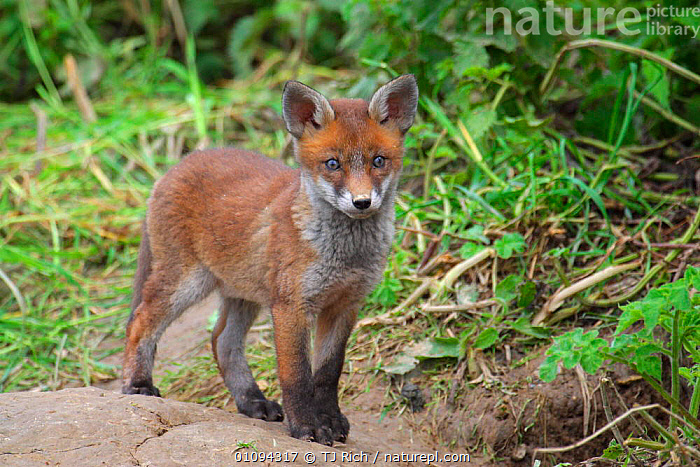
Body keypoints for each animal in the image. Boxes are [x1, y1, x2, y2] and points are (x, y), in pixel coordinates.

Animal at [122, 75, 418, 445]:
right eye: (332, 164)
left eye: (378, 161)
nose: (362, 202)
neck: (345, 255)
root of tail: (175, 166)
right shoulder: (292, 305)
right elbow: (297, 375)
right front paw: (306, 426)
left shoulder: (345, 304)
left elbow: (327, 373)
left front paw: (330, 420)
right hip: (186, 283)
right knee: (139, 323)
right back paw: (138, 385)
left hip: (243, 293)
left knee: (222, 341)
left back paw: (252, 401)